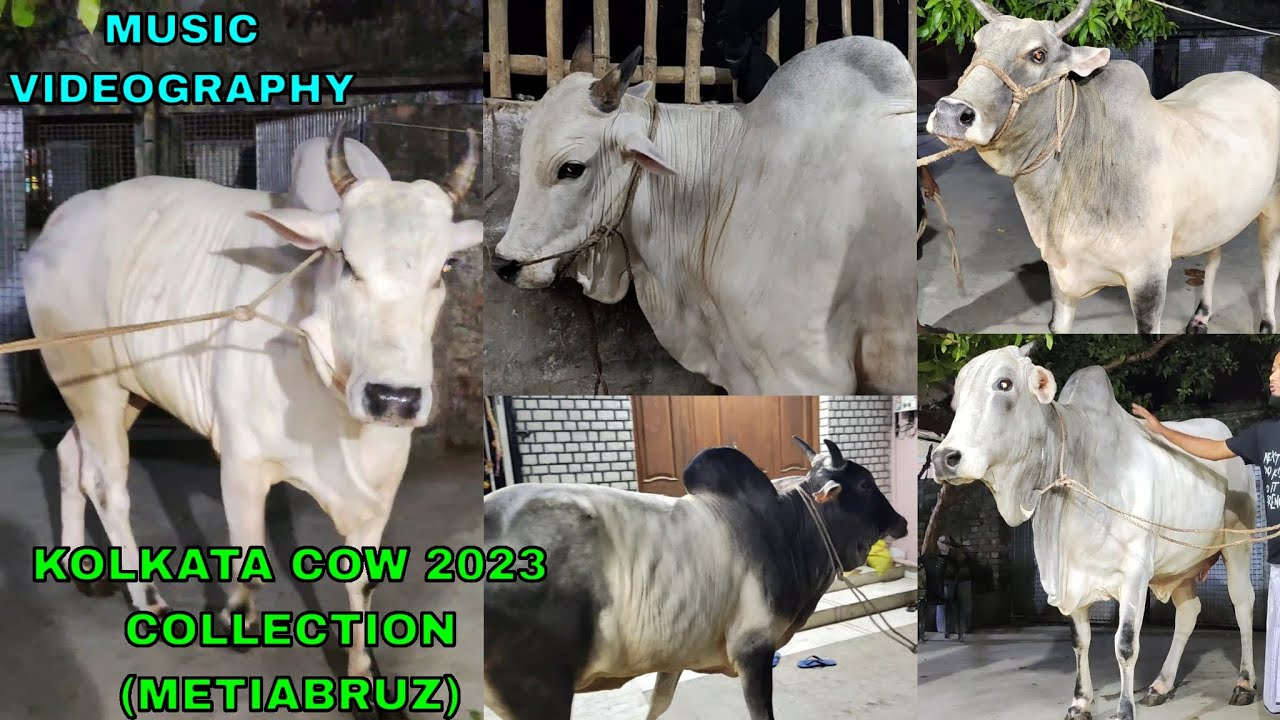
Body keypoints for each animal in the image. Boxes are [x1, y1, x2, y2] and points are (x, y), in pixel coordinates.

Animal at [21, 124, 482, 682]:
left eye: (446, 266)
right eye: (347, 262)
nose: (394, 398)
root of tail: (57, 222)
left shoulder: (381, 486)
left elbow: (363, 584)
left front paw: (363, 671)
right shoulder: (242, 462)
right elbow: (249, 560)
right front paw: (236, 624)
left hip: (121, 388)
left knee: (71, 455)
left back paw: (80, 568)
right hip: (88, 380)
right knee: (110, 487)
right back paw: (147, 599)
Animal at [483, 438, 909, 720]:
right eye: (864, 484)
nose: (902, 522)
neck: (789, 530)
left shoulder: (674, 654)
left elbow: (658, 706)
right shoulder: (753, 650)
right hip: (537, 691)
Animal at [926, 0, 1280, 335]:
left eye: (1038, 54)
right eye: (977, 44)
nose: (950, 113)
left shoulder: (1149, 276)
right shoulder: (1061, 276)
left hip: (1272, 212)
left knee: (1268, 263)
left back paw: (1267, 323)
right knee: (1214, 255)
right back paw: (1201, 315)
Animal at [932, 343, 1257, 720]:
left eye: (1004, 384)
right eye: (956, 399)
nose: (943, 458)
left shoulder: (1134, 575)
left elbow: (1126, 645)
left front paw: (1125, 709)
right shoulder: (1071, 578)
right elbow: (1080, 641)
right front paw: (1080, 703)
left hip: (1238, 541)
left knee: (1242, 602)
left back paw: (1244, 684)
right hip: (1178, 563)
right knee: (1188, 612)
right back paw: (1161, 685)